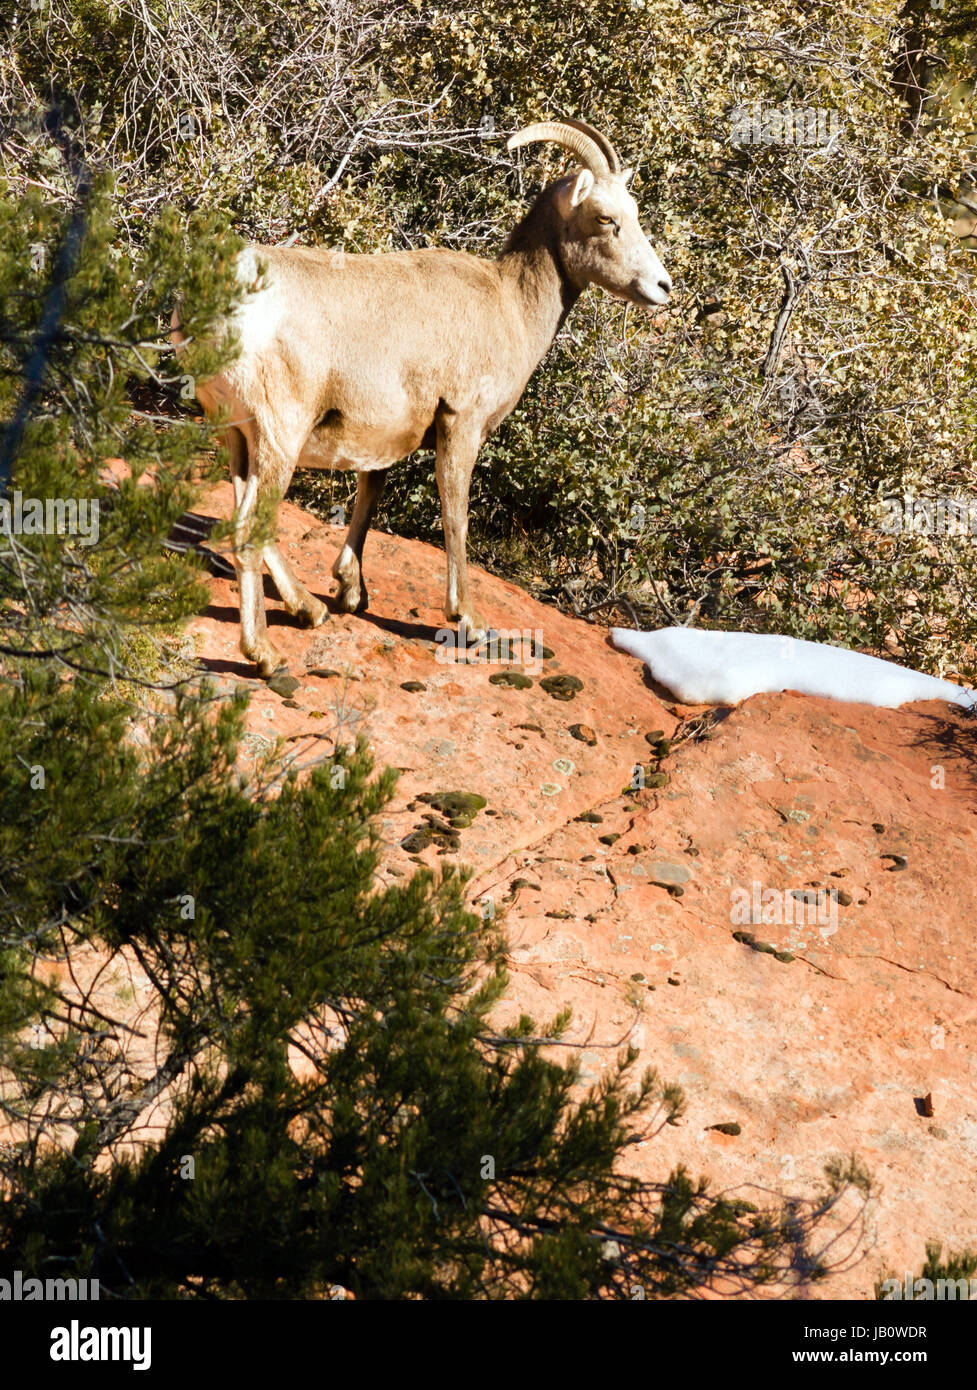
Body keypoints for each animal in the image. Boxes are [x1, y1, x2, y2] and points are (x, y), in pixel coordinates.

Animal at [174, 119, 672, 677]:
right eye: (606, 218)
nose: (662, 286)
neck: (509, 305)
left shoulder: (382, 441)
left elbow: (370, 499)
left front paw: (350, 593)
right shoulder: (460, 424)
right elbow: (455, 518)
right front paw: (469, 621)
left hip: (236, 437)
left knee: (243, 521)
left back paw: (308, 610)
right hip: (280, 436)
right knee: (250, 533)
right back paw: (265, 655)